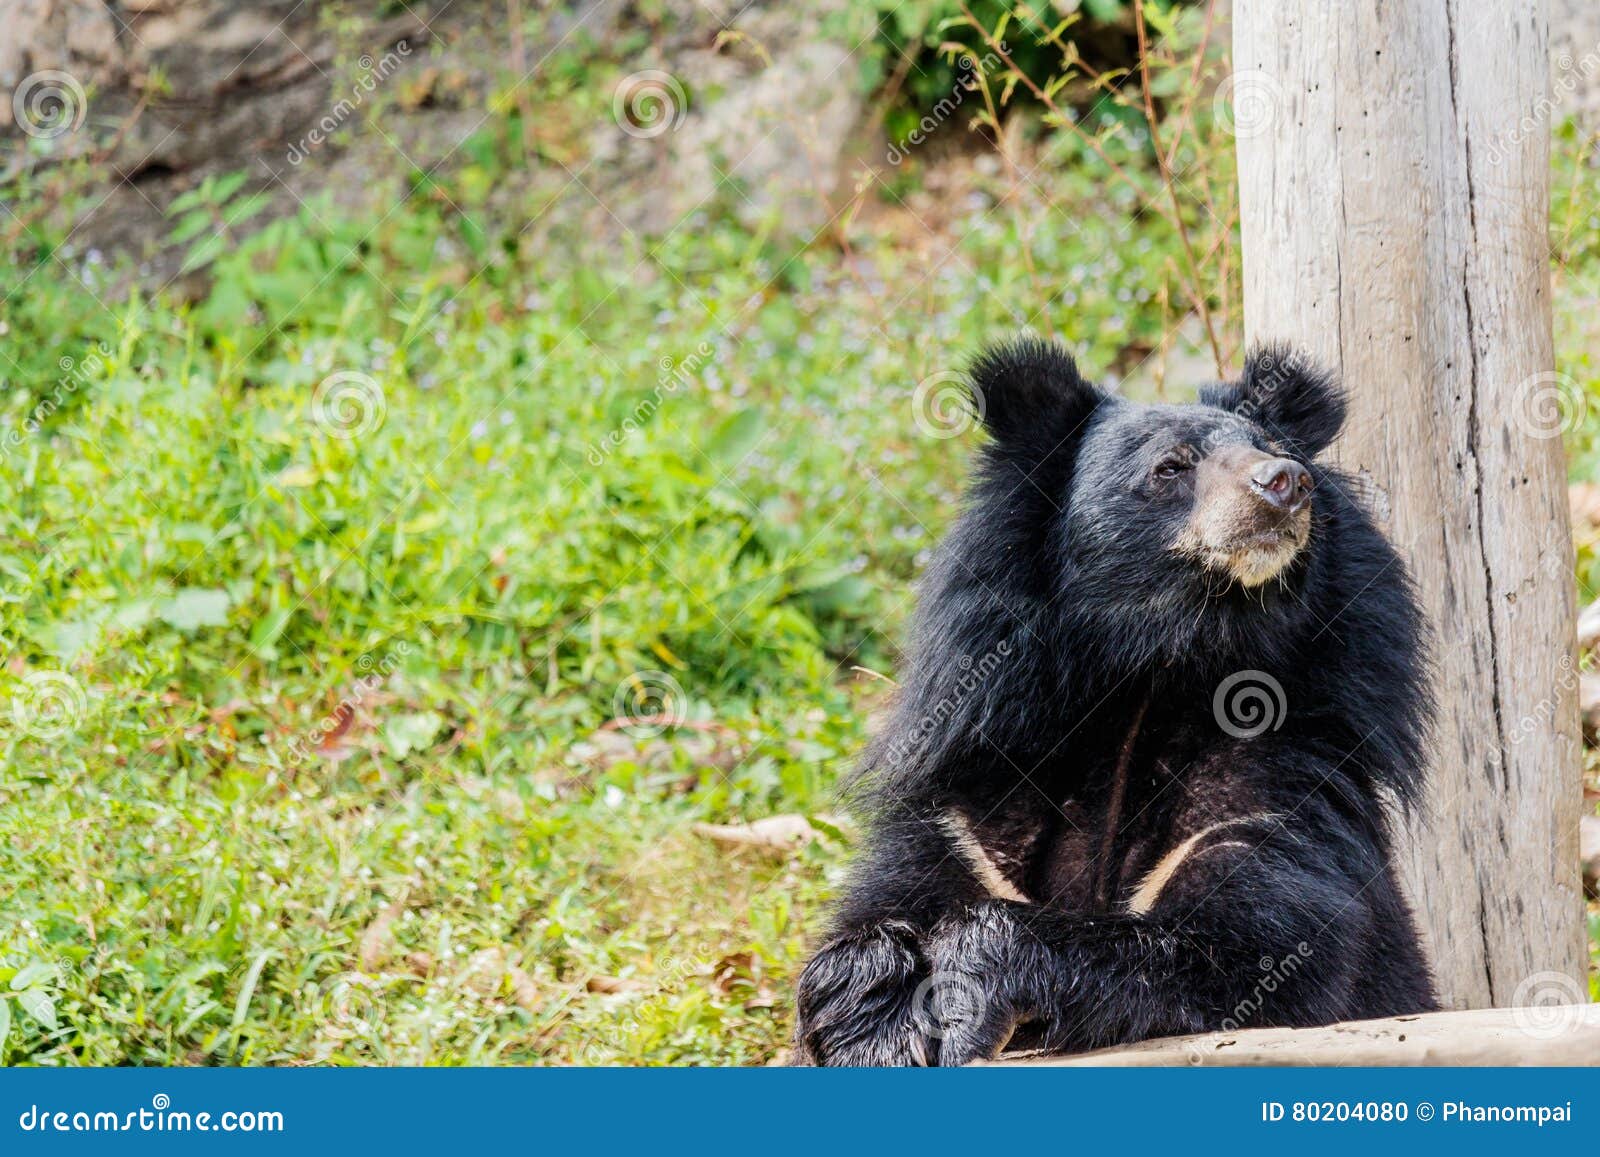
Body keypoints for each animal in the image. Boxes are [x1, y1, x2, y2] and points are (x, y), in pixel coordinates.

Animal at [793, 339, 1438, 1067]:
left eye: (1272, 447)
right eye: (1170, 466)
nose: (1285, 482)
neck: (1146, 675)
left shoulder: (1273, 788)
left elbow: (1252, 951)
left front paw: (967, 996)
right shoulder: (965, 823)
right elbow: (876, 916)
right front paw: (878, 1027)